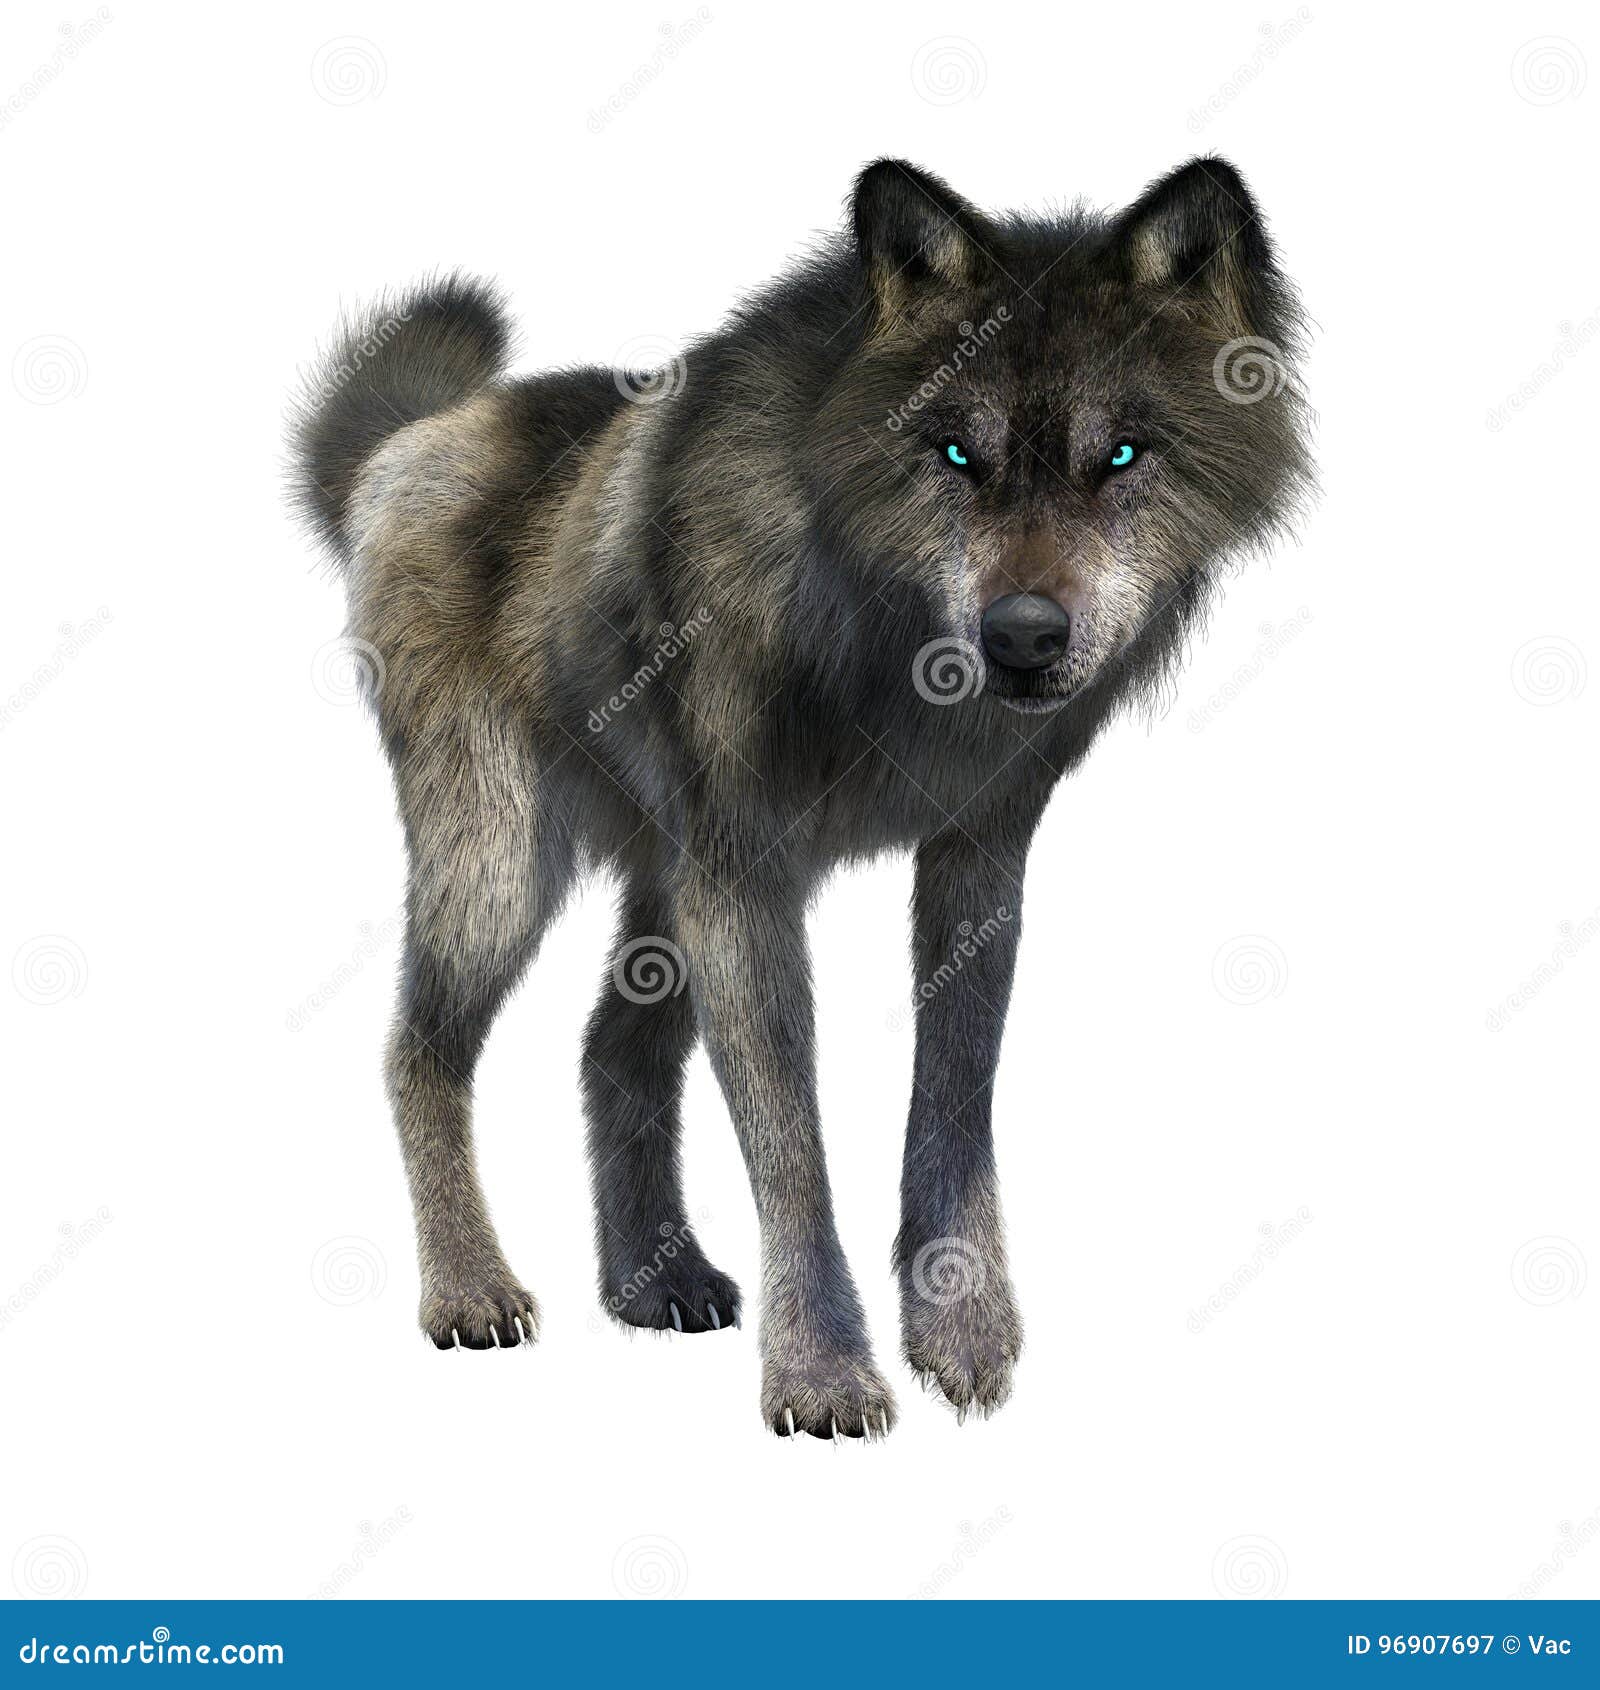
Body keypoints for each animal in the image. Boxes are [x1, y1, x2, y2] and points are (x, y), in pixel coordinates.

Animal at [292, 156, 1312, 1440]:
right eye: (954, 453)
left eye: (1123, 455)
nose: (1025, 636)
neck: (889, 649)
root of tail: (416, 438)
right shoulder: (744, 875)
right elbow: (791, 1144)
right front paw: (822, 1373)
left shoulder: (977, 856)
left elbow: (953, 1101)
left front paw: (961, 1334)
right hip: (506, 869)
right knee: (416, 1050)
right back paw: (469, 1289)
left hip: (657, 891)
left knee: (609, 1048)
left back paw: (653, 1282)